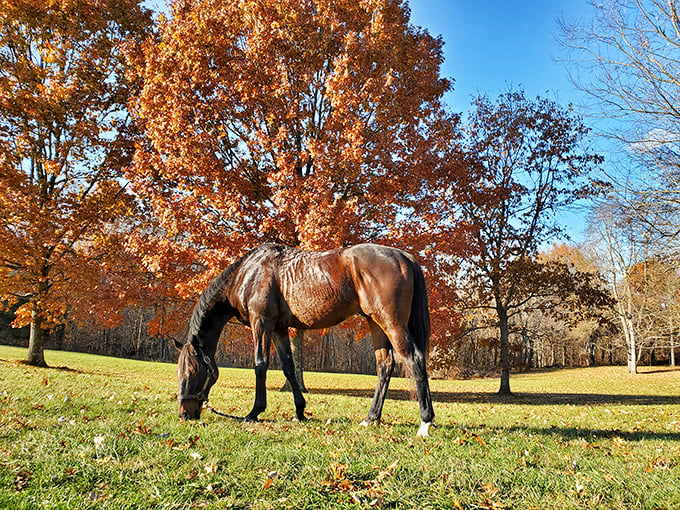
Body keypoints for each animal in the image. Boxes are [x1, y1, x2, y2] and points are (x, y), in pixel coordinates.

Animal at [175, 243, 434, 436]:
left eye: (190, 372)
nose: (184, 413)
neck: (247, 274)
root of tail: (404, 256)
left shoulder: (261, 323)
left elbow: (260, 365)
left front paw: (254, 412)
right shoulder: (279, 329)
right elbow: (289, 368)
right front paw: (299, 412)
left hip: (390, 321)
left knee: (414, 359)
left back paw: (425, 422)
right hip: (375, 322)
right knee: (385, 365)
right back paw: (371, 418)